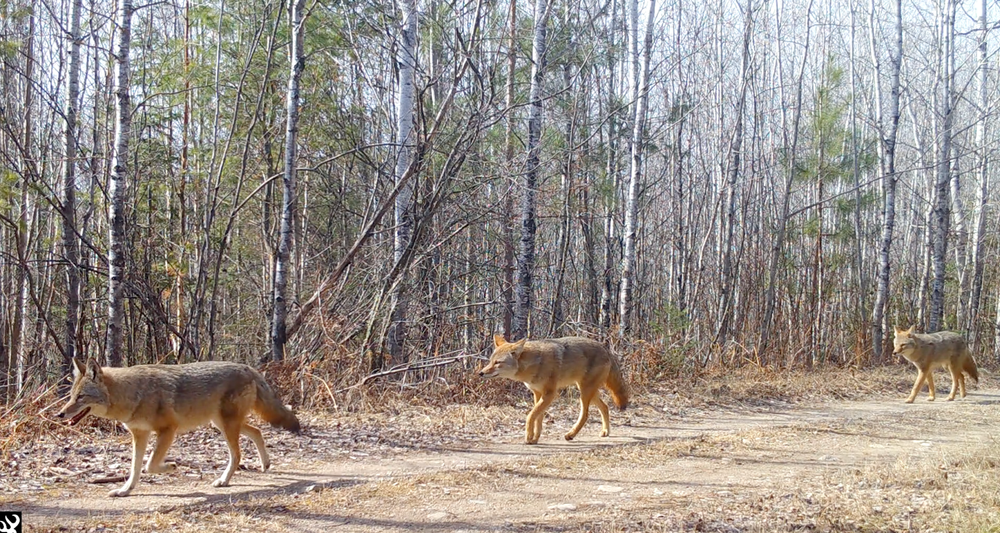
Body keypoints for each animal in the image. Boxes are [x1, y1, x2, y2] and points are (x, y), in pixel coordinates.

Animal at [57, 358, 300, 496]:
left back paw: (223, 481)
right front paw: (125, 490)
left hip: (226, 426)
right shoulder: (140, 434)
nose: (60, 414)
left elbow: (149, 466)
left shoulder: (168, 430)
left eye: (81, 397)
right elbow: (135, 469)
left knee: (237, 454)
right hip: (221, 423)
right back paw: (265, 464)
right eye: (71, 397)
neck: (133, 393)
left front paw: (171, 466)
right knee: (257, 432)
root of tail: (248, 367)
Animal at [478, 334, 629, 444]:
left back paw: (570, 434)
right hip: (588, 391)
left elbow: (530, 416)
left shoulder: (550, 394)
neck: (534, 363)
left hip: (585, 392)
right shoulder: (537, 394)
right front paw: (534, 438)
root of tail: (605, 348)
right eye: (490, 361)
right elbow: (538, 418)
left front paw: (528, 437)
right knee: (605, 407)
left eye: (498, 363)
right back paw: (605, 431)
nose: (480, 373)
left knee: (586, 414)